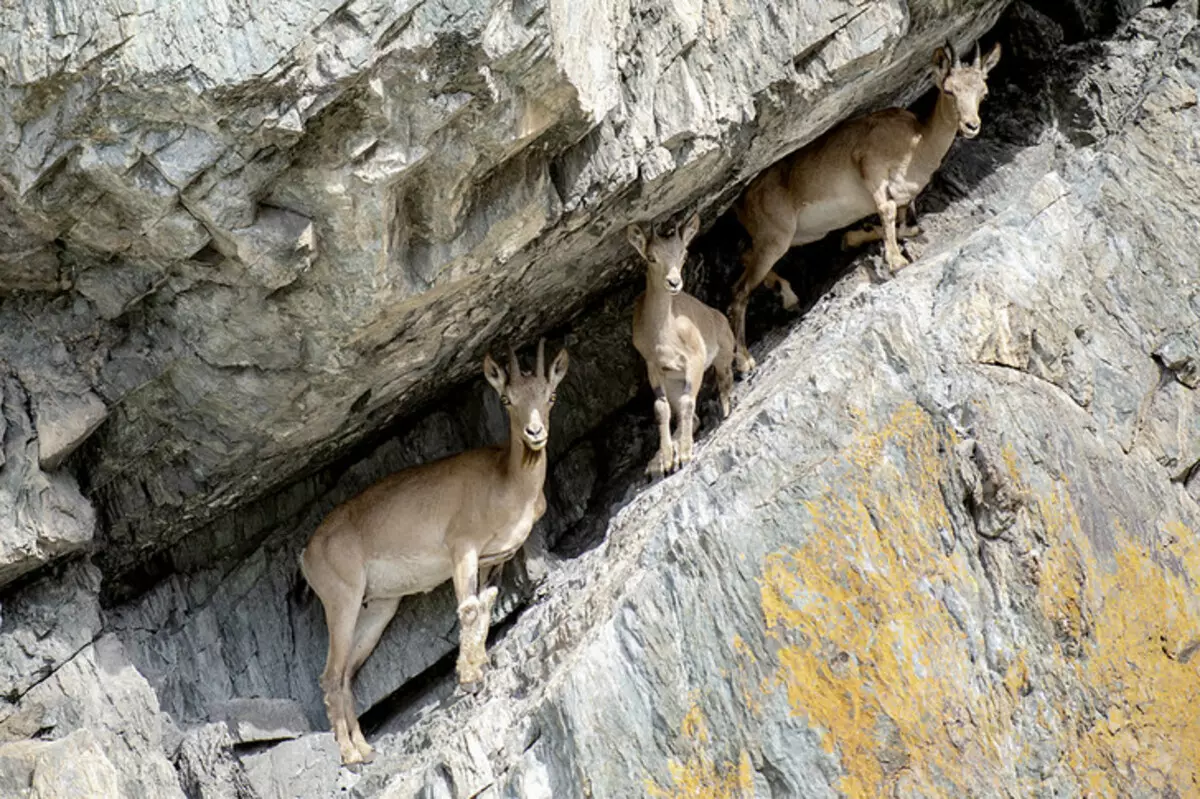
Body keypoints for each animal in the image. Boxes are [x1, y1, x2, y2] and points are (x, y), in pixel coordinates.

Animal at [297, 338, 564, 763]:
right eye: (506, 399)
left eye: (550, 395)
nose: (534, 432)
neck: (506, 484)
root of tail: (306, 554)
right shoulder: (462, 549)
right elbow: (468, 609)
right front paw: (469, 678)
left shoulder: (496, 559)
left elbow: (485, 604)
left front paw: (480, 664)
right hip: (342, 600)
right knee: (330, 675)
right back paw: (350, 754)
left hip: (378, 608)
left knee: (347, 673)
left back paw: (365, 747)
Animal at [628, 211, 739, 475]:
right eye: (651, 257)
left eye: (683, 253)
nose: (674, 283)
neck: (663, 333)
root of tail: (718, 316)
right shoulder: (654, 367)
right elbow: (661, 408)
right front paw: (668, 460)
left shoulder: (694, 361)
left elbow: (689, 402)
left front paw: (686, 455)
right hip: (673, 382)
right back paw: (657, 461)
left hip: (722, 359)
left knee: (724, 384)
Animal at [729, 41, 1003, 364]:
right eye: (949, 90)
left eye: (983, 91)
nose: (971, 126)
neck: (918, 143)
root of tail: (741, 201)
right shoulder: (869, 163)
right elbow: (886, 210)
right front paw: (896, 261)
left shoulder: (904, 199)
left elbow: (909, 227)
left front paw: (851, 238)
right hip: (775, 238)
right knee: (738, 292)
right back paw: (744, 358)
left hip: (794, 236)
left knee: (745, 257)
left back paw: (788, 296)